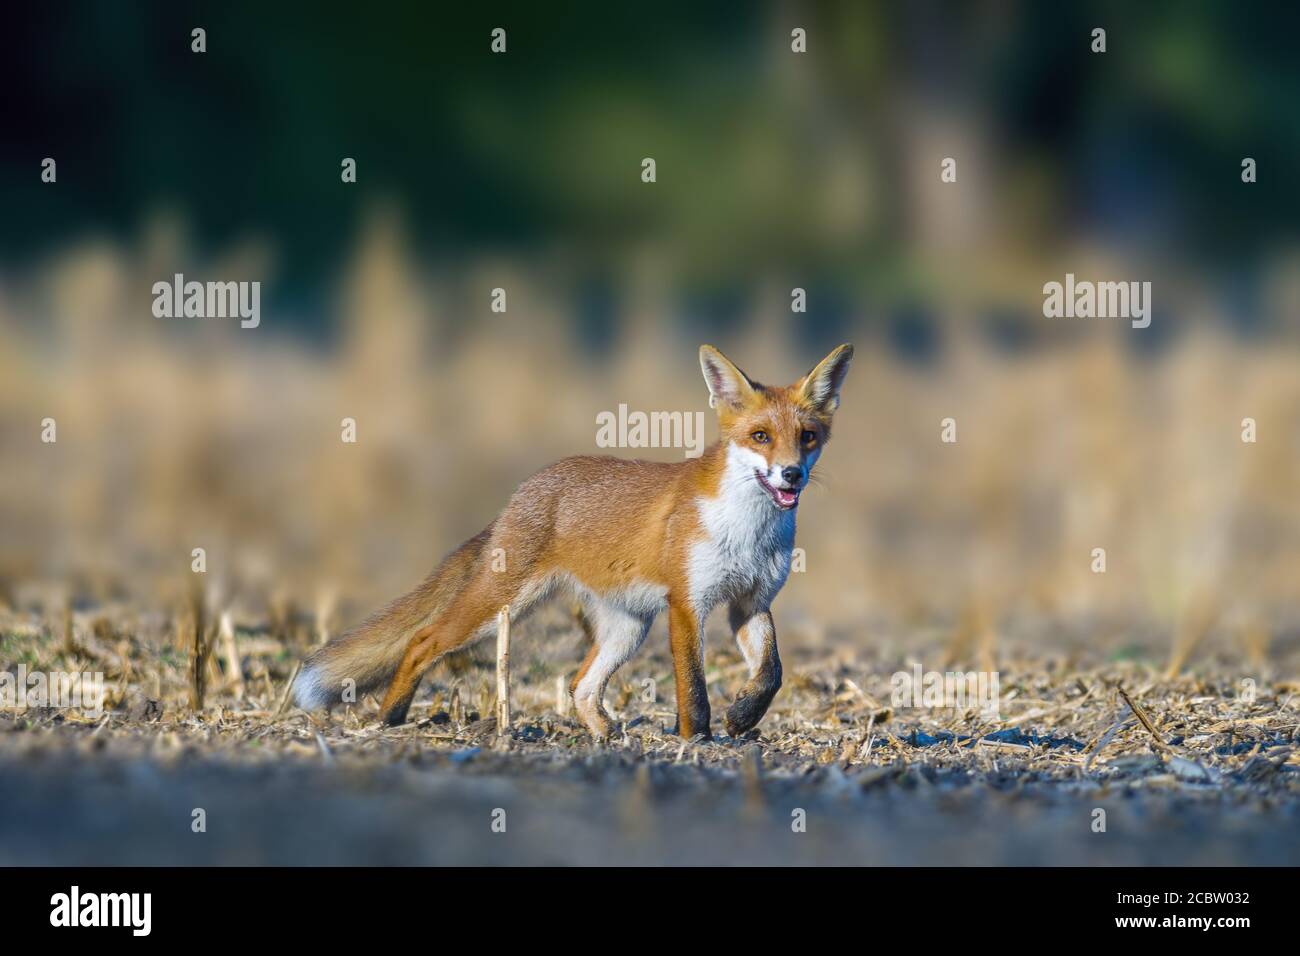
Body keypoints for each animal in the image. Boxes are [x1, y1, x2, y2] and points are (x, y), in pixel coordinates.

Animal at [294, 343, 853, 740]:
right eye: (761, 436)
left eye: (807, 437)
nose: (792, 474)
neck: (747, 531)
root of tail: (525, 490)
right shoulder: (687, 604)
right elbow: (692, 689)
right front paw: (697, 742)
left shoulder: (750, 603)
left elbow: (772, 673)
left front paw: (742, 717)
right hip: (499, 606)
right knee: (421, 642)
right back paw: (390, 718)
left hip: (627, 628)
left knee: (580, 687)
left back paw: (609, 736)